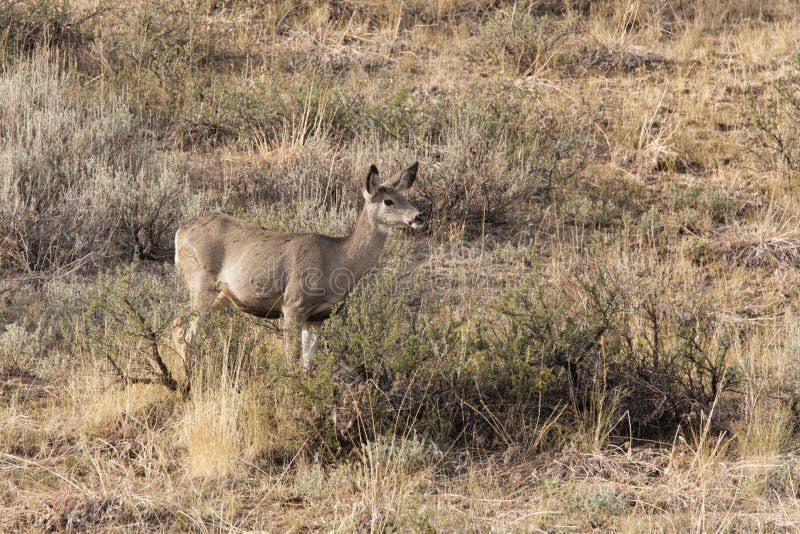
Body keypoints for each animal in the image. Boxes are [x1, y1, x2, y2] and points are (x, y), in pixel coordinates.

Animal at [171, 162, 424, 393]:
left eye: (404, 196)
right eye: (388, 201)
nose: (419, 216)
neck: (339, 260)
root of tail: (180, 232)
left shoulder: (318, 315)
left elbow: (307, 364)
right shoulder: (293, 304)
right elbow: (289, 360)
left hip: (221, 294)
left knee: (178, 323)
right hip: (201, 281)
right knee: (184, 329)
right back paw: (185, 383)